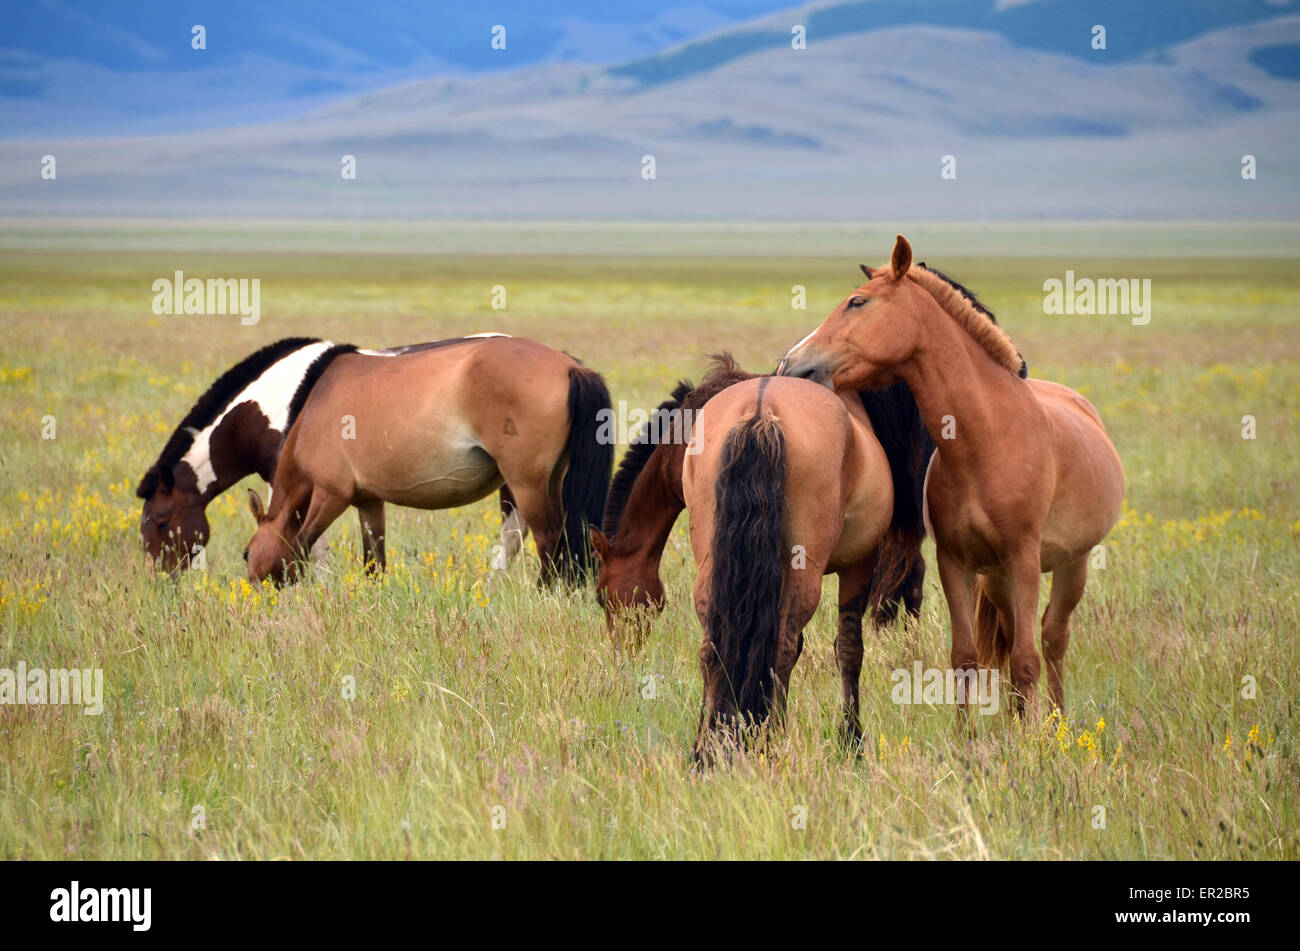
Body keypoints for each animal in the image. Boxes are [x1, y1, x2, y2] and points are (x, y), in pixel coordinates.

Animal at [243, 335, 613, 587]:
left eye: (246, 553)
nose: (253, 590)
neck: (316, 408)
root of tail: (570, 366)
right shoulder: (368, 503)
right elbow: (374, 560)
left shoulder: (330, 496)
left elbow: (301, 543)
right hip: (551, 482)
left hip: (527, 486)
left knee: (550, 540)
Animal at [679, 374, 906, 757]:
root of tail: (760, 410)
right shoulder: (860, 563)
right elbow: (849, 648)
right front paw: (851, 738)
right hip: (807, 571)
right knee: (782, 649)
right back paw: (771, 740)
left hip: (713, 567)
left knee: (712, 647)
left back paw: (705, 747)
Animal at [779, 236, 1124, 716]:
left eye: (856, 302)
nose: (791, 366)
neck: (986, 441)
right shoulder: (956, 562)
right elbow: (965, 659)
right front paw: (974, 736)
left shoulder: (1023, 560)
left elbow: (1027, 661)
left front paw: (1031, 737)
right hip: (996, 579)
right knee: (1012, 636)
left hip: (1072, 565)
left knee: (1053, 638)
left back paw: (1055, 720)